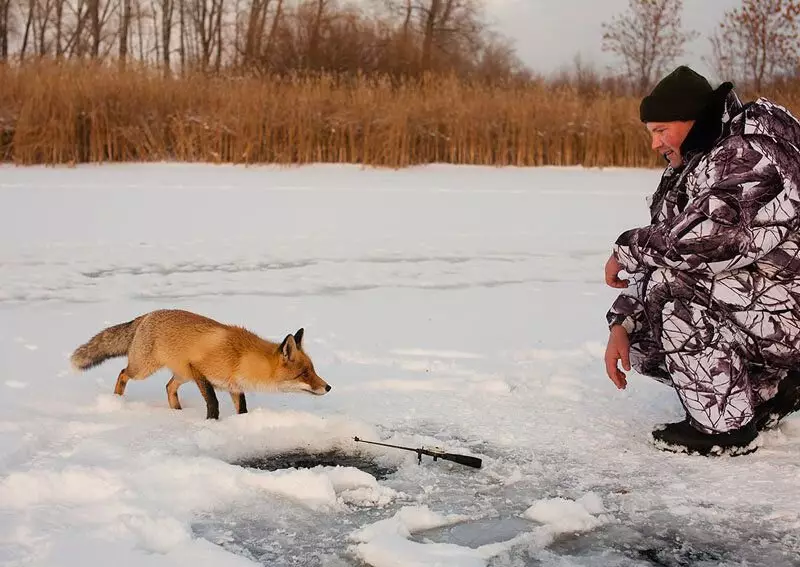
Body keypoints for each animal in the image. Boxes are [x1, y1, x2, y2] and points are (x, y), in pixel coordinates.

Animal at [70, 308, 330, 420]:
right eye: (304, 374)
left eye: (313, 370)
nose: (328, 387)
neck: (241, 357)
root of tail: (146, 315)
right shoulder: (199, 371)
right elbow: (213, 402)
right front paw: (211, 422)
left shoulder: (233, 386)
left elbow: (242, 407)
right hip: (145, 369)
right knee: (123, 373)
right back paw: (116, 401)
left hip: (182, 374)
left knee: (168, 387)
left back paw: (177, 412)